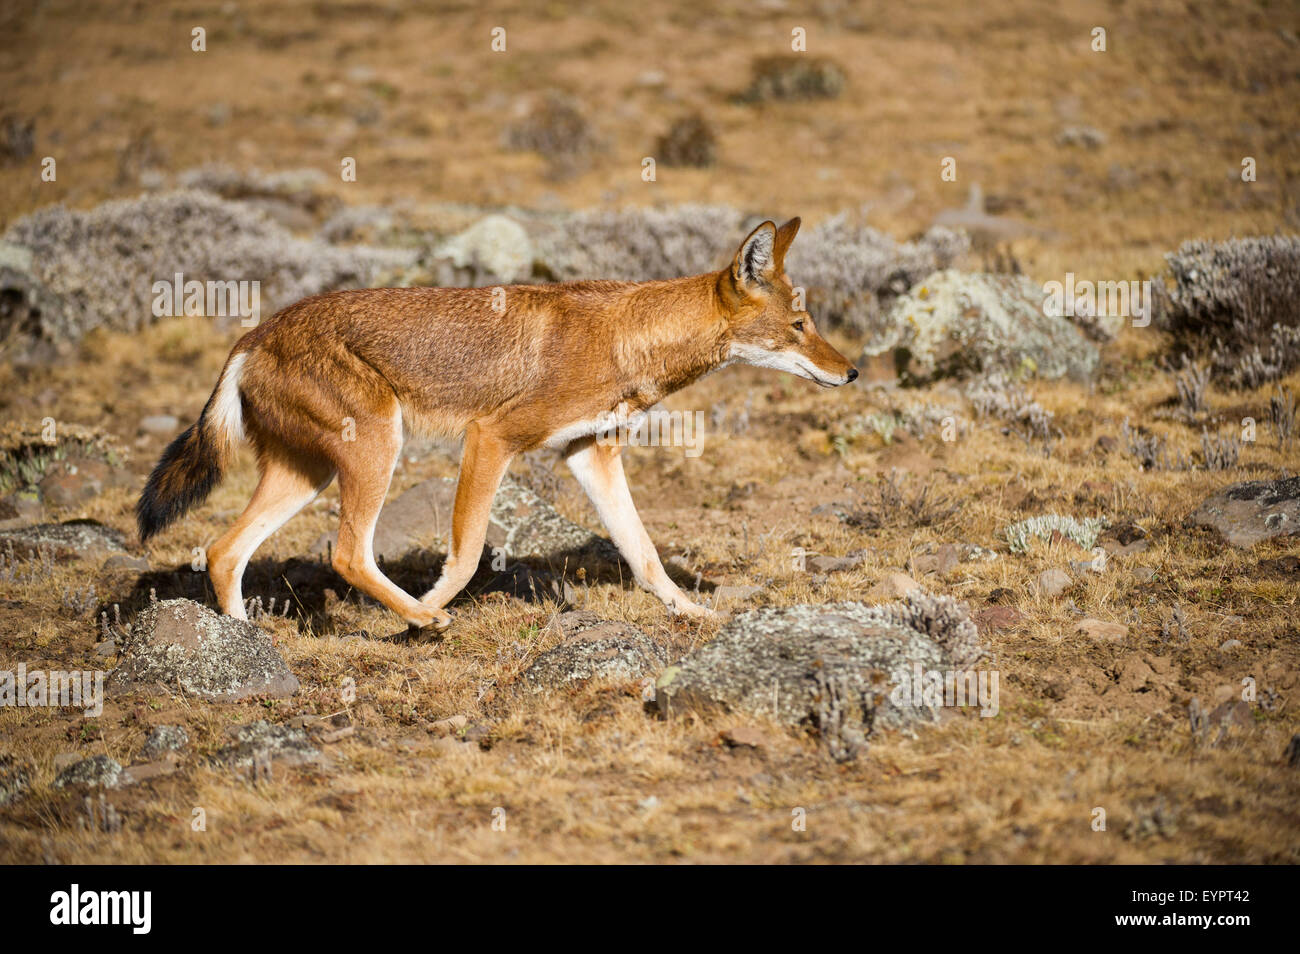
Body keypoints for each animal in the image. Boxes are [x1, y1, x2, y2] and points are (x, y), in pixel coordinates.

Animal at [137, 216, 858, 634]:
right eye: (800, 325)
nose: (851, 372)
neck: (626, 336)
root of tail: (252, 335)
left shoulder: (589, 454)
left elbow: (645, 555)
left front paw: (692, 611)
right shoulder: (491, 437)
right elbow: (465, 555)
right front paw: (433, 605)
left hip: (309, 476)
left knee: (223, 552)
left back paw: (243, 645)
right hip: (375, 452)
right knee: (344, 554)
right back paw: (422, 619)